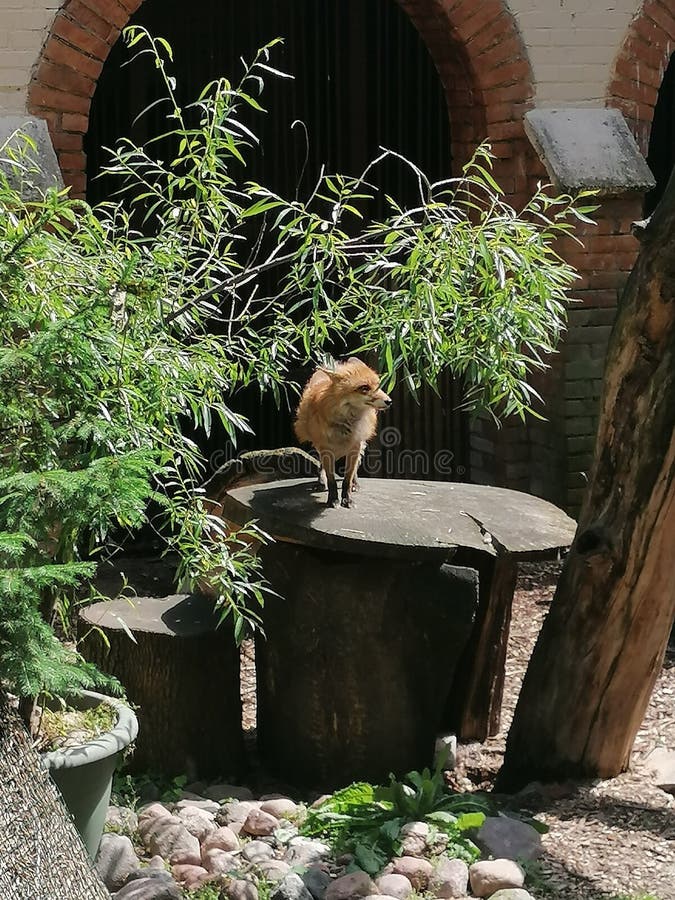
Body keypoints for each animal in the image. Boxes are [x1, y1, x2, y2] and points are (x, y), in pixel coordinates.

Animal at [294, 357, 392, 508]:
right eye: (364, 388)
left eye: (378, 385)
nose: (389, 401)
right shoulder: (325, 448)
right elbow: (331, 480)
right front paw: (332, 500)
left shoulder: (355, 446)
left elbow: (347, 479)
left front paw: (347, 499)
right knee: (321, 466)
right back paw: (320, 482)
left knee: (355, 470)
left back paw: (355, 484)